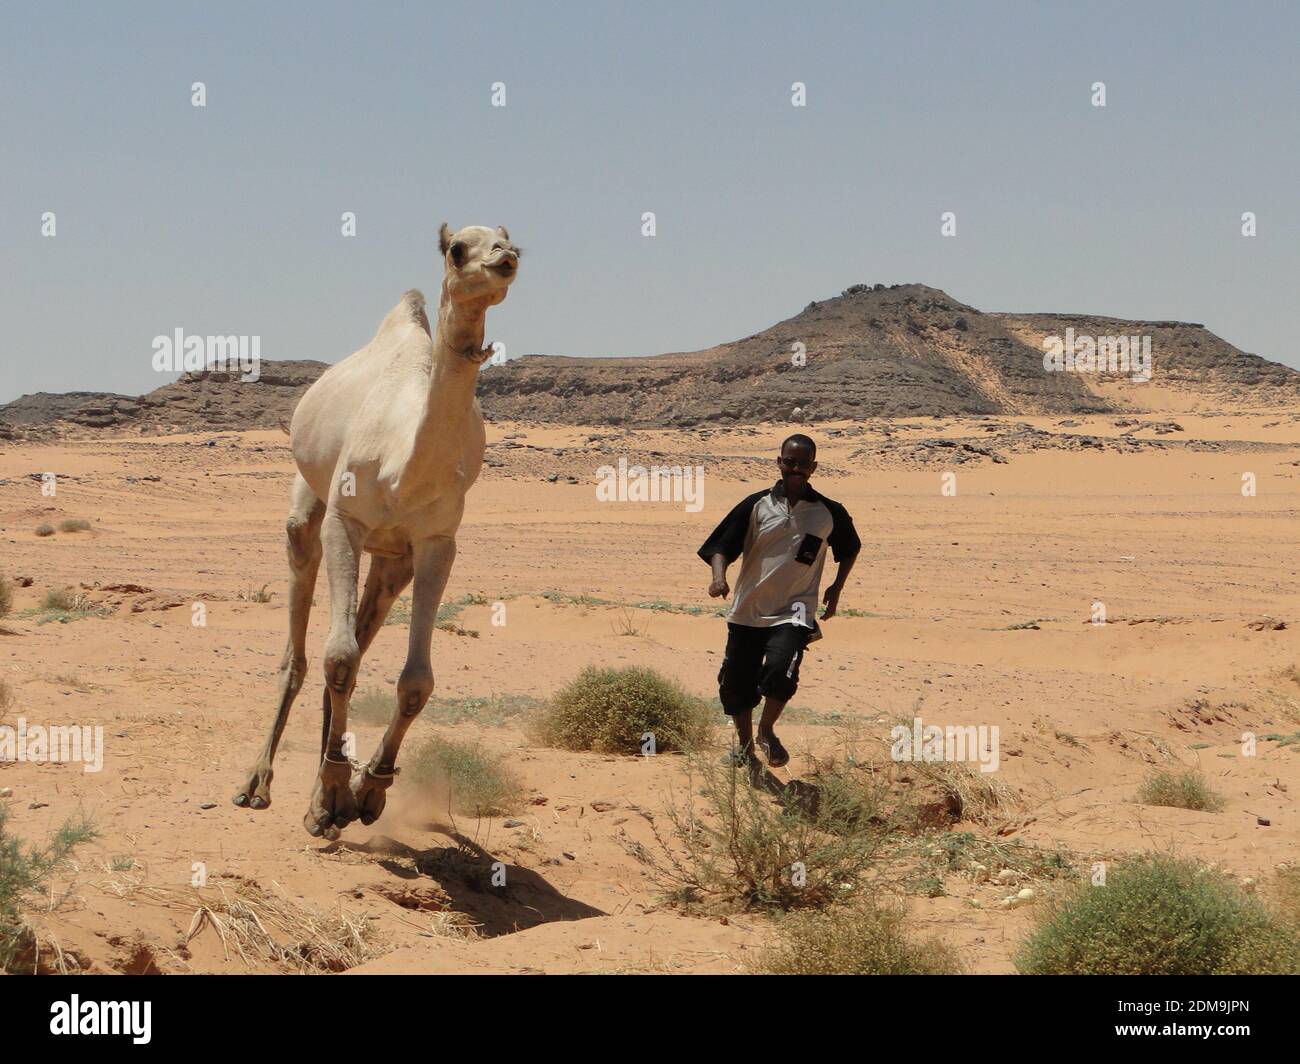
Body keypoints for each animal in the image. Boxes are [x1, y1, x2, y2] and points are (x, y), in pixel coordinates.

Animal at [232, 223, 520, 837]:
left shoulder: (437, 544)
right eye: (458, 250)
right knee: (302, 652)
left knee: (359, 646)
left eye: (512, 241)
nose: (504, 260)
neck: (401, 463)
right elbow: (337, 656)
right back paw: (259, 784)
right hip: (309, 509)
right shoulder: (347, 522)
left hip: (393, 559)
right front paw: (337, 785)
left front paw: (366, 789)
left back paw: (326, 797)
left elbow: (415, 680)